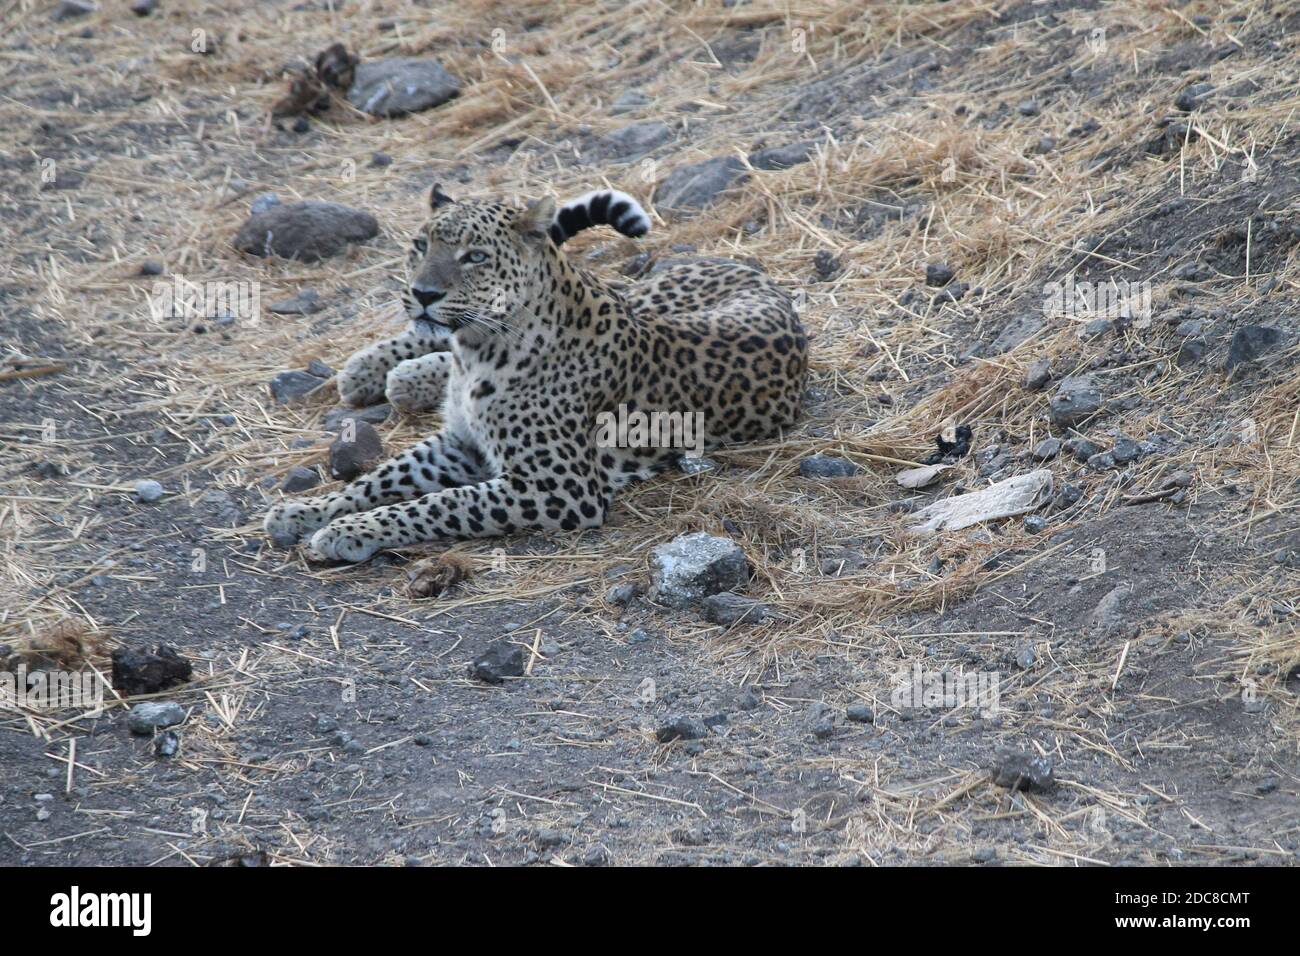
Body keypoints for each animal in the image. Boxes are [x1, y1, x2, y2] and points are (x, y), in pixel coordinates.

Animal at [263, 184, 808, 563]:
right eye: (419, 245)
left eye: (475, 256)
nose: (422, 293)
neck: (479, 353)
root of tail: (757, 274)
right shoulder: (460, 443)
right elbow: (379, 479)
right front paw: (303, 512)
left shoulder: (556, 487)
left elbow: (435, 504)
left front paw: (347, 532)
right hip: (648, 295)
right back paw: (376, 370)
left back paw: (400, 377)